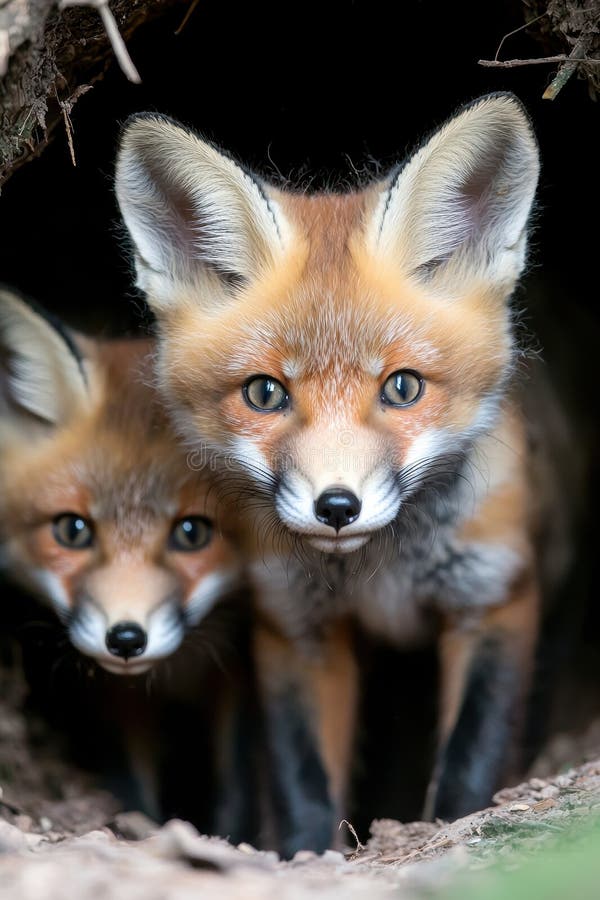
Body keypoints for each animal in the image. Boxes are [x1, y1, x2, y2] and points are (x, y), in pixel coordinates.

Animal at [114, 94, 576, 855]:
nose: (337, 506)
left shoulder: (493, 596)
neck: (379, 569)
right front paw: (307, 853)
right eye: (265, 393)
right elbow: (303, 772)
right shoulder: (294, 626)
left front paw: (457, 828)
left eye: (403, 388)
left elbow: (472, 753)